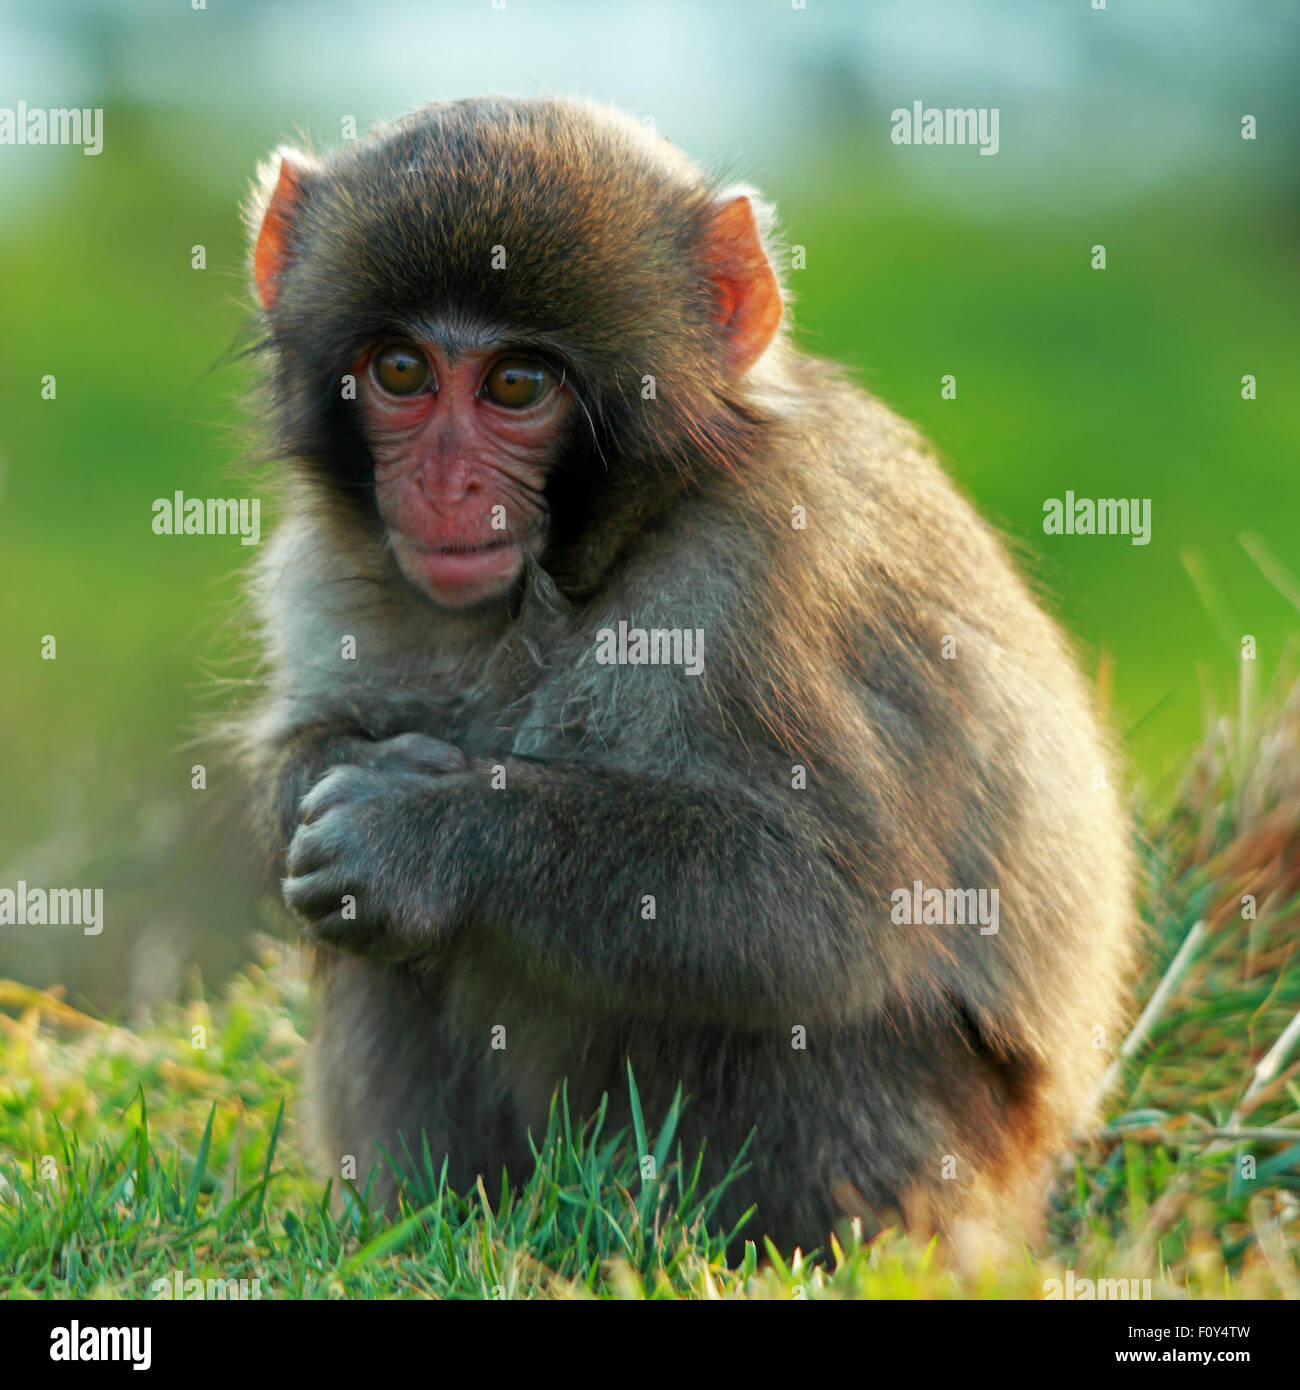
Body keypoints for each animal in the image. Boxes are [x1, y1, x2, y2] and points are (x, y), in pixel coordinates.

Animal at [231, 96, 1133, 1258]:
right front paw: (335, 775)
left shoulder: (763, 580)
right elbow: (310, 773)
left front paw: (425, 839)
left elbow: (830, 913)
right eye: (400, 372)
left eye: (516, 384)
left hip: (925, 1157)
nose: (443, 485)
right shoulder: (322, 567)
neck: (584, 562)